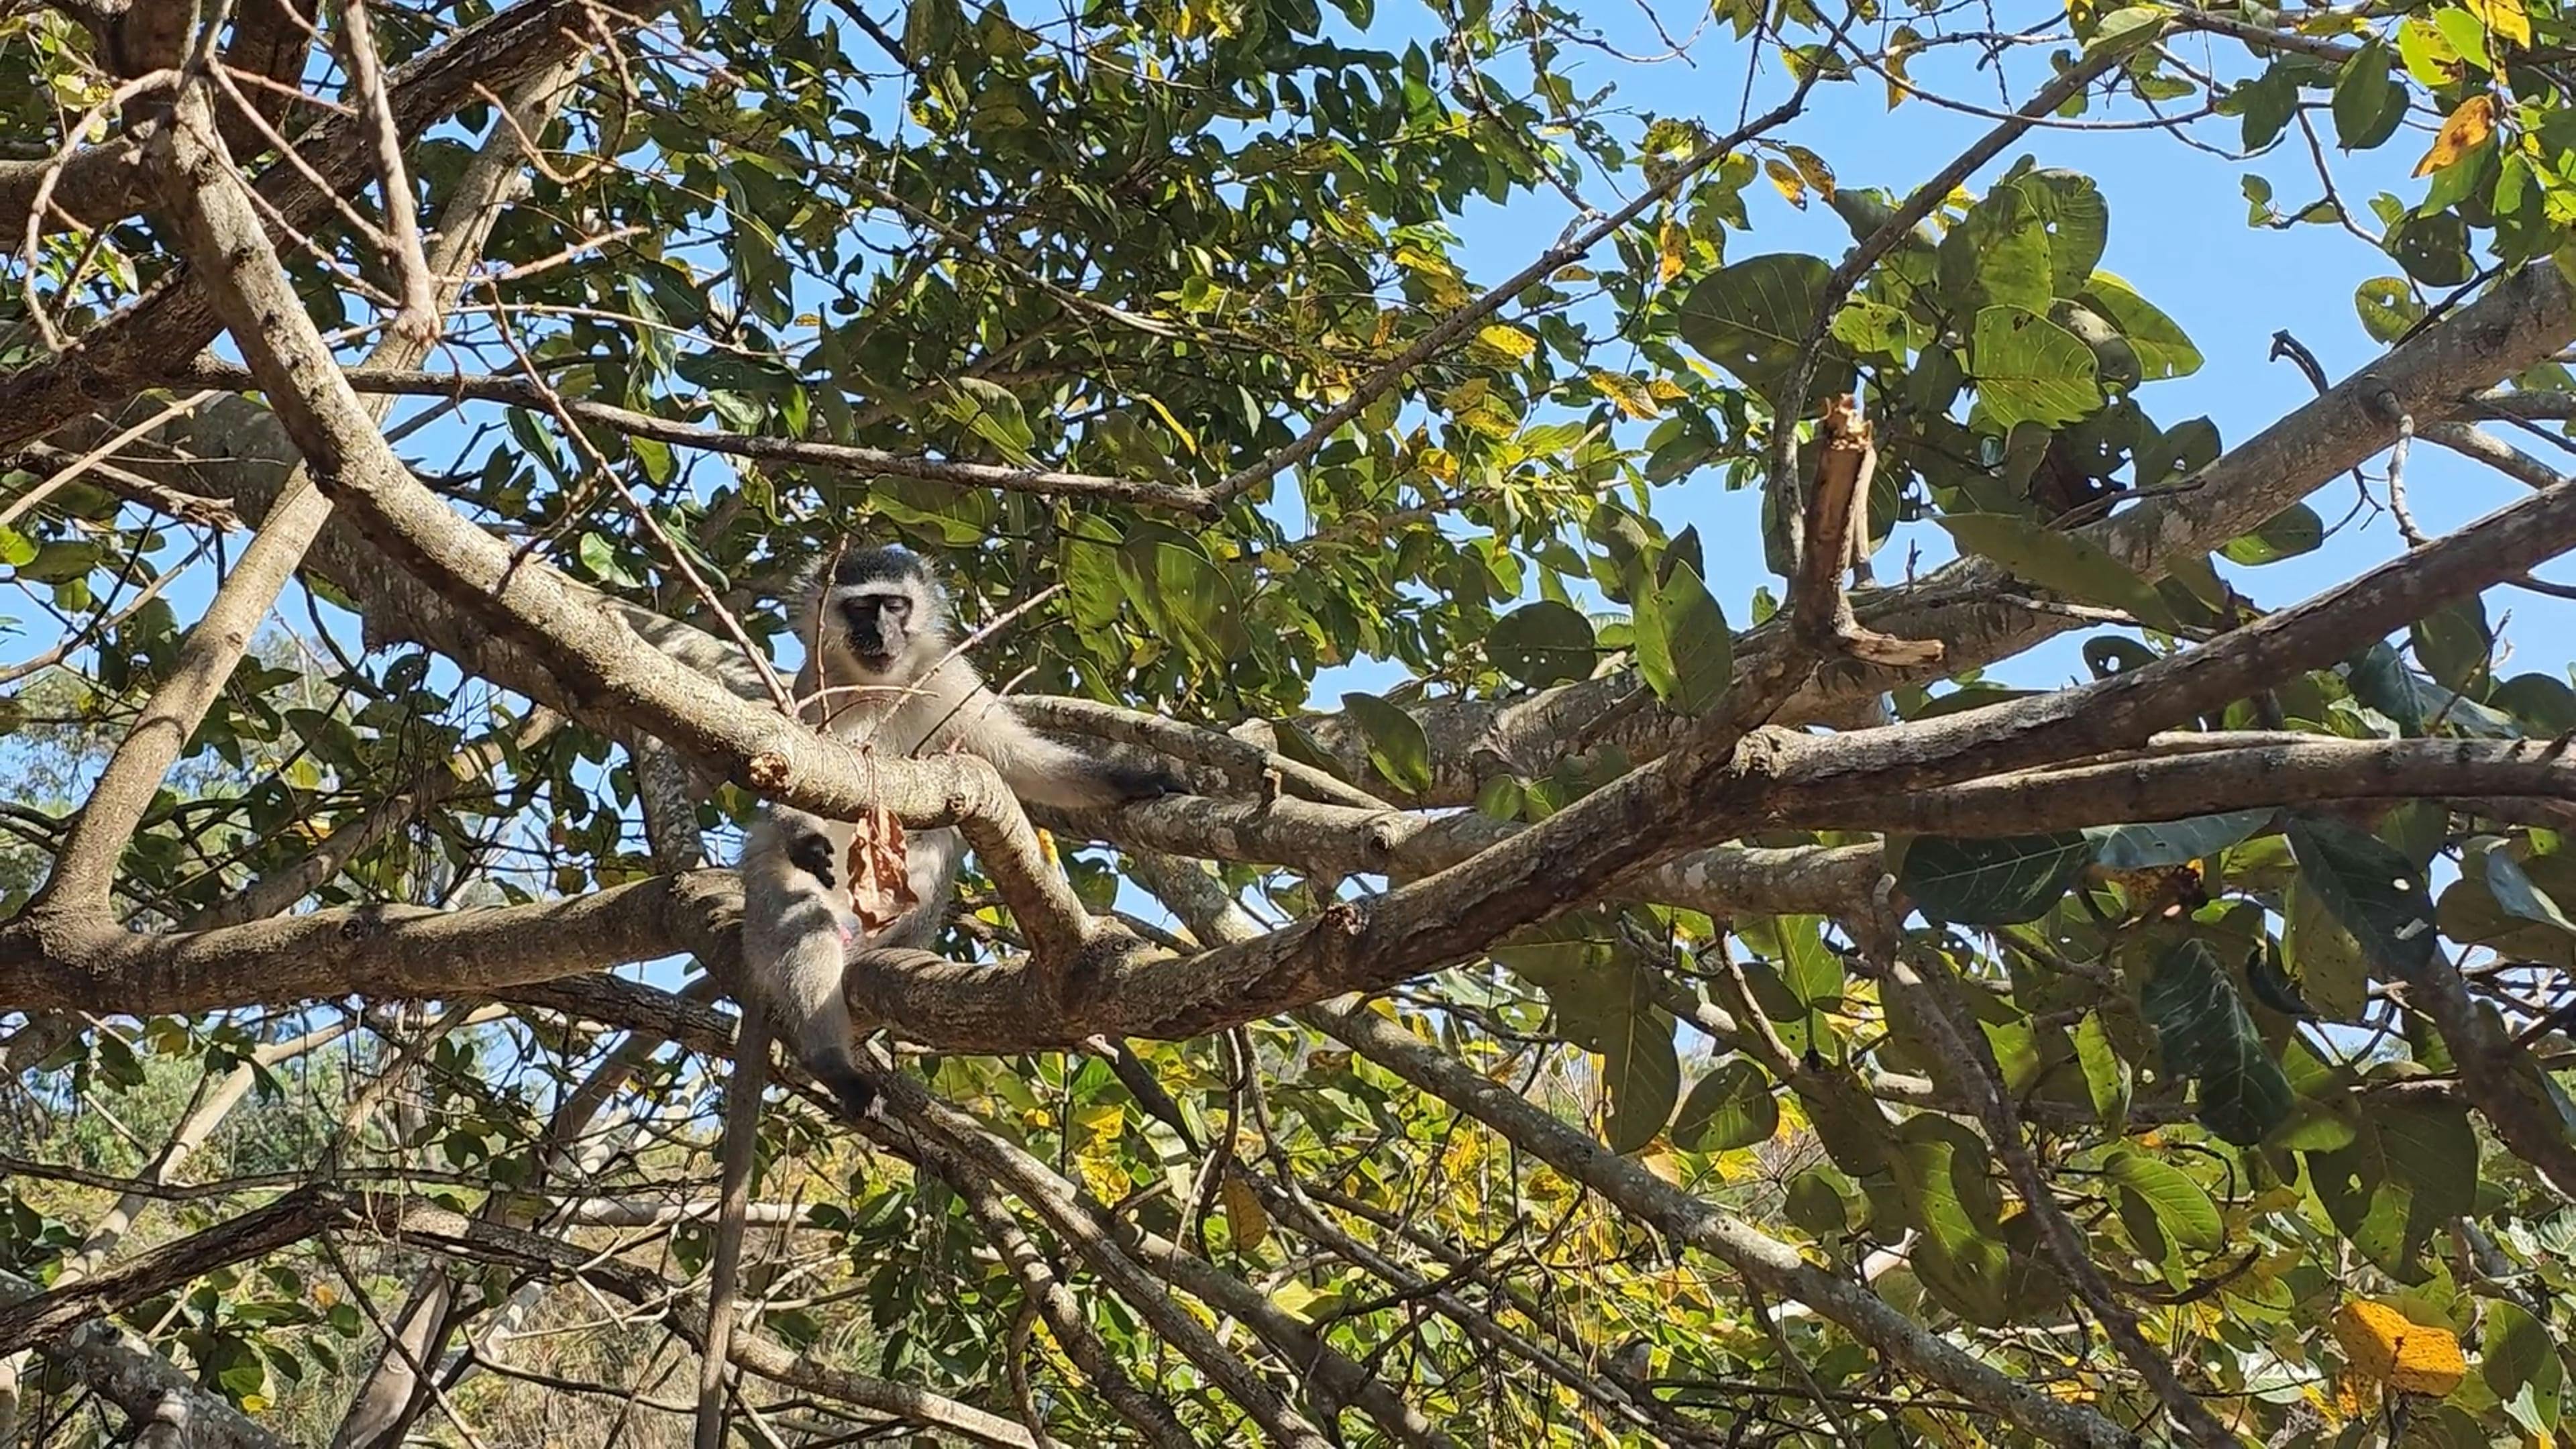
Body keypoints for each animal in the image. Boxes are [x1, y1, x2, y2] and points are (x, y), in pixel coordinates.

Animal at [737, 543, 1187, 1119]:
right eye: (859, 609)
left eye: (895, 606)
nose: (879, 634)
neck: (883, 685)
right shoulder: (814, 687)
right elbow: (790, 780)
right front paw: (806, 837)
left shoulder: (947, 676)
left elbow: (1015, 759)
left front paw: (1131, 779)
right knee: (801, 909)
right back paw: (833, 1065)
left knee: (938, 839)